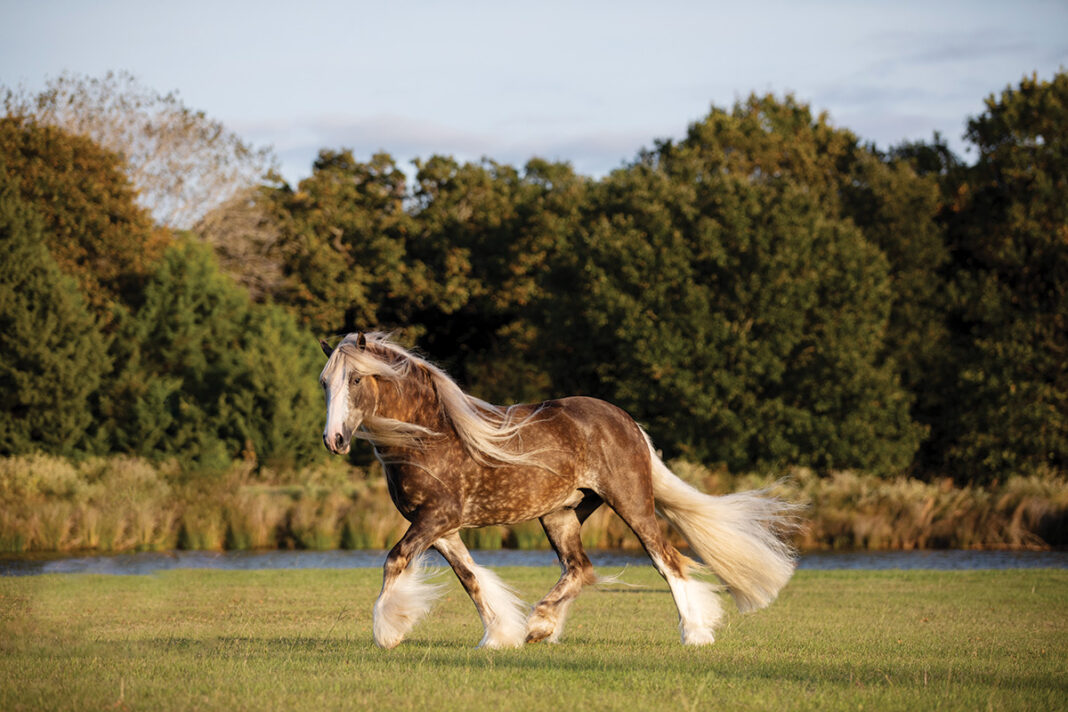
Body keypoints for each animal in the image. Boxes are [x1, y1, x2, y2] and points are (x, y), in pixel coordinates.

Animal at [318, 332, 797, 649]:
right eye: (326, 383)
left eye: (356, 380)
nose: (334, 439)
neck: (427, 437)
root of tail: (625, 421)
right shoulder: (442, 529)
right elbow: (471, 579)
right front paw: (499, 636)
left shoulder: (437, 518)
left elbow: (395, 560)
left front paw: (387, 630)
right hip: (560, 514)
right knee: (579, 568)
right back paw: (540, 626)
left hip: (631, 503)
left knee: (668, 561)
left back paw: (695, 633)